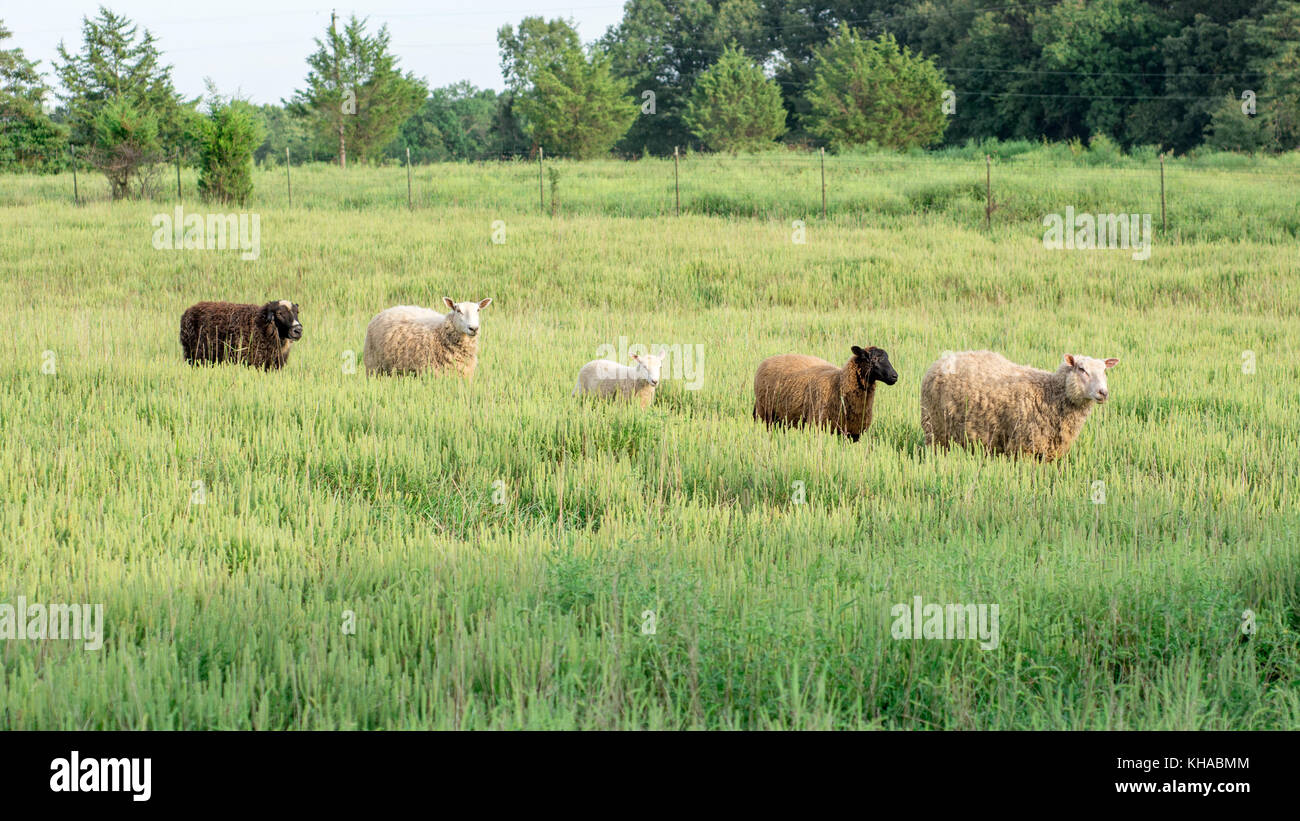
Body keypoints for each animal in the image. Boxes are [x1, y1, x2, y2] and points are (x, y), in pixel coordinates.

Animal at [753, 345, 898, 442]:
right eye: (874, 359)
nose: (895, 376)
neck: (838, 384)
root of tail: (768, 360)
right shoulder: (817, 426)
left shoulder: (853, 433)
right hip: (765, 414)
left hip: (782, 418)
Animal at [920, 350, 1119, 461]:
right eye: (1082, 369)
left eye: (1105, 371)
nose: (1103, 392)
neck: (1050, 393)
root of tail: (942, 360)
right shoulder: (1024, 448)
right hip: (935, 429)